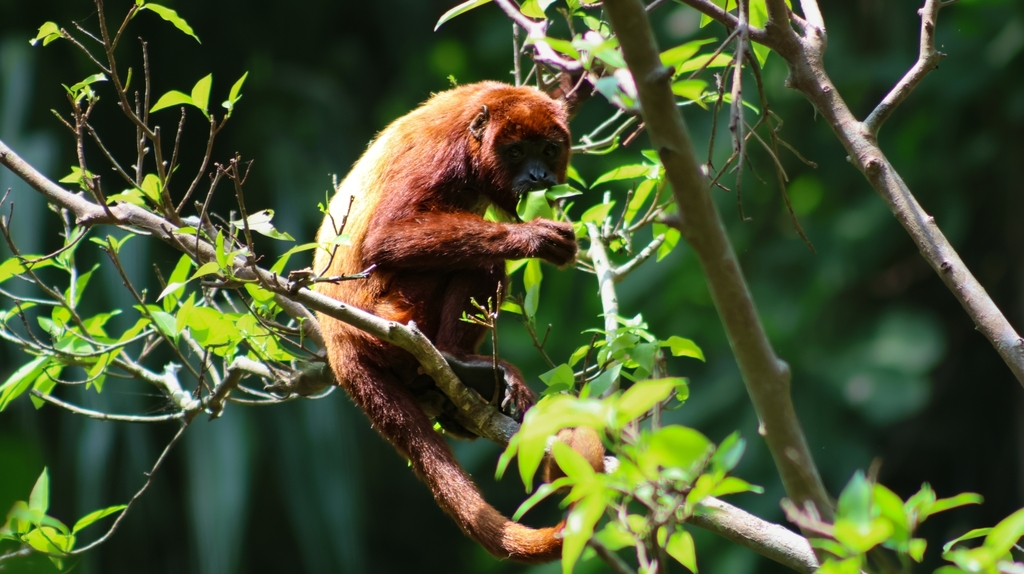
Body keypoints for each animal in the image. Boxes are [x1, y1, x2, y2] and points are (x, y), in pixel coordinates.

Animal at [312, 81, 604, 563]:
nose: (539, 177)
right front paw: (535, 238)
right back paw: (459, 361)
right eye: (515, 151)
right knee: (485, 262)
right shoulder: (439, 155)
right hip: (397, 310)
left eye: (549, 149)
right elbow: (385, 236)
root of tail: (340, 340)